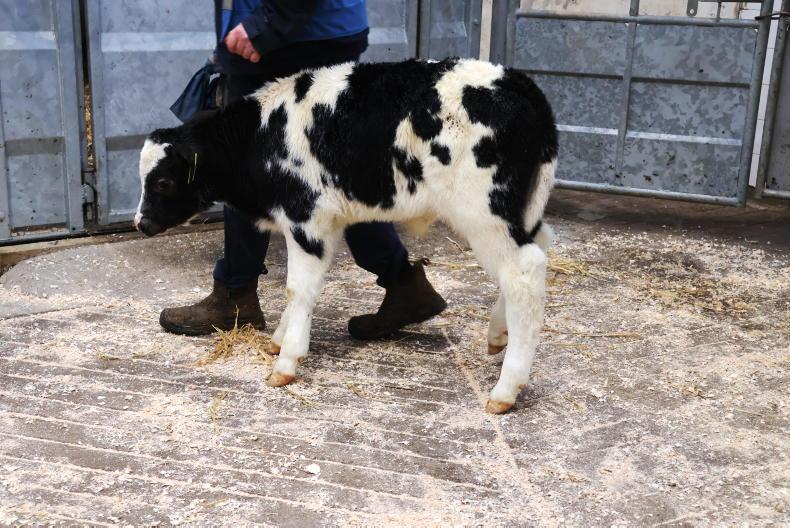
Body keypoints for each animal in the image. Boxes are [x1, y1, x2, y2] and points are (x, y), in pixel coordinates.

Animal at [134, 58, 558, 414]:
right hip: (521, 213)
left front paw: (286, 361)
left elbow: (297, 289)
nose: (140, 223)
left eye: (162, 182)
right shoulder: (322, 223)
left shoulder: (306, 220)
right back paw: (498, 333)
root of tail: (522, 86)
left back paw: (505, 389)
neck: (261, 135)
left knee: (524, 272)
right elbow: (301, 289)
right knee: (536, 251)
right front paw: (280, 339)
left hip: (484, 213)